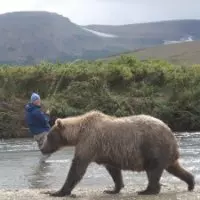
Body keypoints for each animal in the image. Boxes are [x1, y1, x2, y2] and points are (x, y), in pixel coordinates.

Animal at [40, 109, 195, 197]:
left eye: (48, 136)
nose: (42, 148)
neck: (78, 133)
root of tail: (171, 133)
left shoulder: (90, 142)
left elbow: (77, 167)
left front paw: (58, 192)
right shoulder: (107, 150)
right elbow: (113, 170)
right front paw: (113, 189)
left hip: (152, 147)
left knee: (153, 171)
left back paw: (147, 190)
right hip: (165, 152)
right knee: (174, 168)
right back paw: (191, 183)